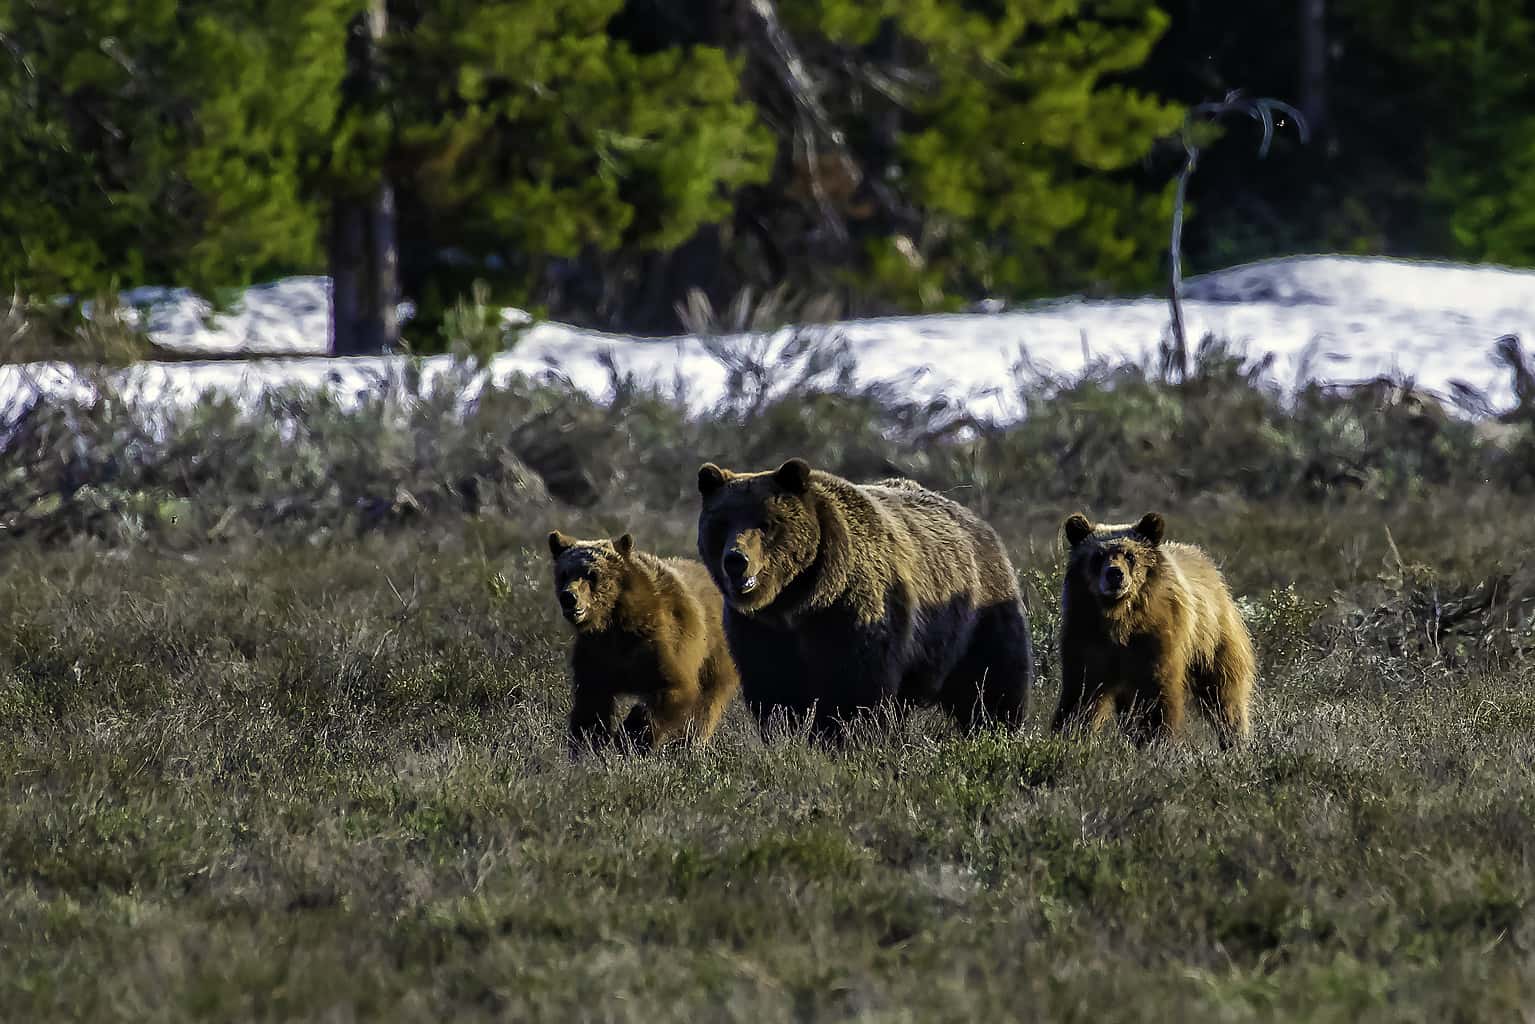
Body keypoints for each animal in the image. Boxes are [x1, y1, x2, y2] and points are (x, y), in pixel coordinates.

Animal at [547, 530, 740, 753]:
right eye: (564, 573)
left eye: (592, 574)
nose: (569, 597)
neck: (615, 622)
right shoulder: (597, 654)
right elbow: (591, 703)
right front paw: (588, 743)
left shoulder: (664, 645)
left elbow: (672, 689)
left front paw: (628, 738)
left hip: (715, 656)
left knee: (707, 705)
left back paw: (688, 744)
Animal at [695, 458, 1036, 739]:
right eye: (722, 523)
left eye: (766, 523)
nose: (736, 560)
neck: (798, 602)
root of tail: (977, 521)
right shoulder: (759, 631)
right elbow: (776, 693)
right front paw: (786, 737)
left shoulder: (854, 613)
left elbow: (853, 692)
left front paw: (843, 738)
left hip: (978, 616)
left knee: (991, 683)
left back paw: (996, 731)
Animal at [1052, 512, 1256, 748]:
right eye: (1098, 556)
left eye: (1130, 555)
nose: (1115, 574)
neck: (1119, 619)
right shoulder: (1085, 634)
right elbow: (1081, 691)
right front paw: (1069, 732)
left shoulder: (1155, 640)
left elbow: (1156, 695)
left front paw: (1156, 739)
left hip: (1213, 641)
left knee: (1225, 694)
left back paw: (1235, 738)